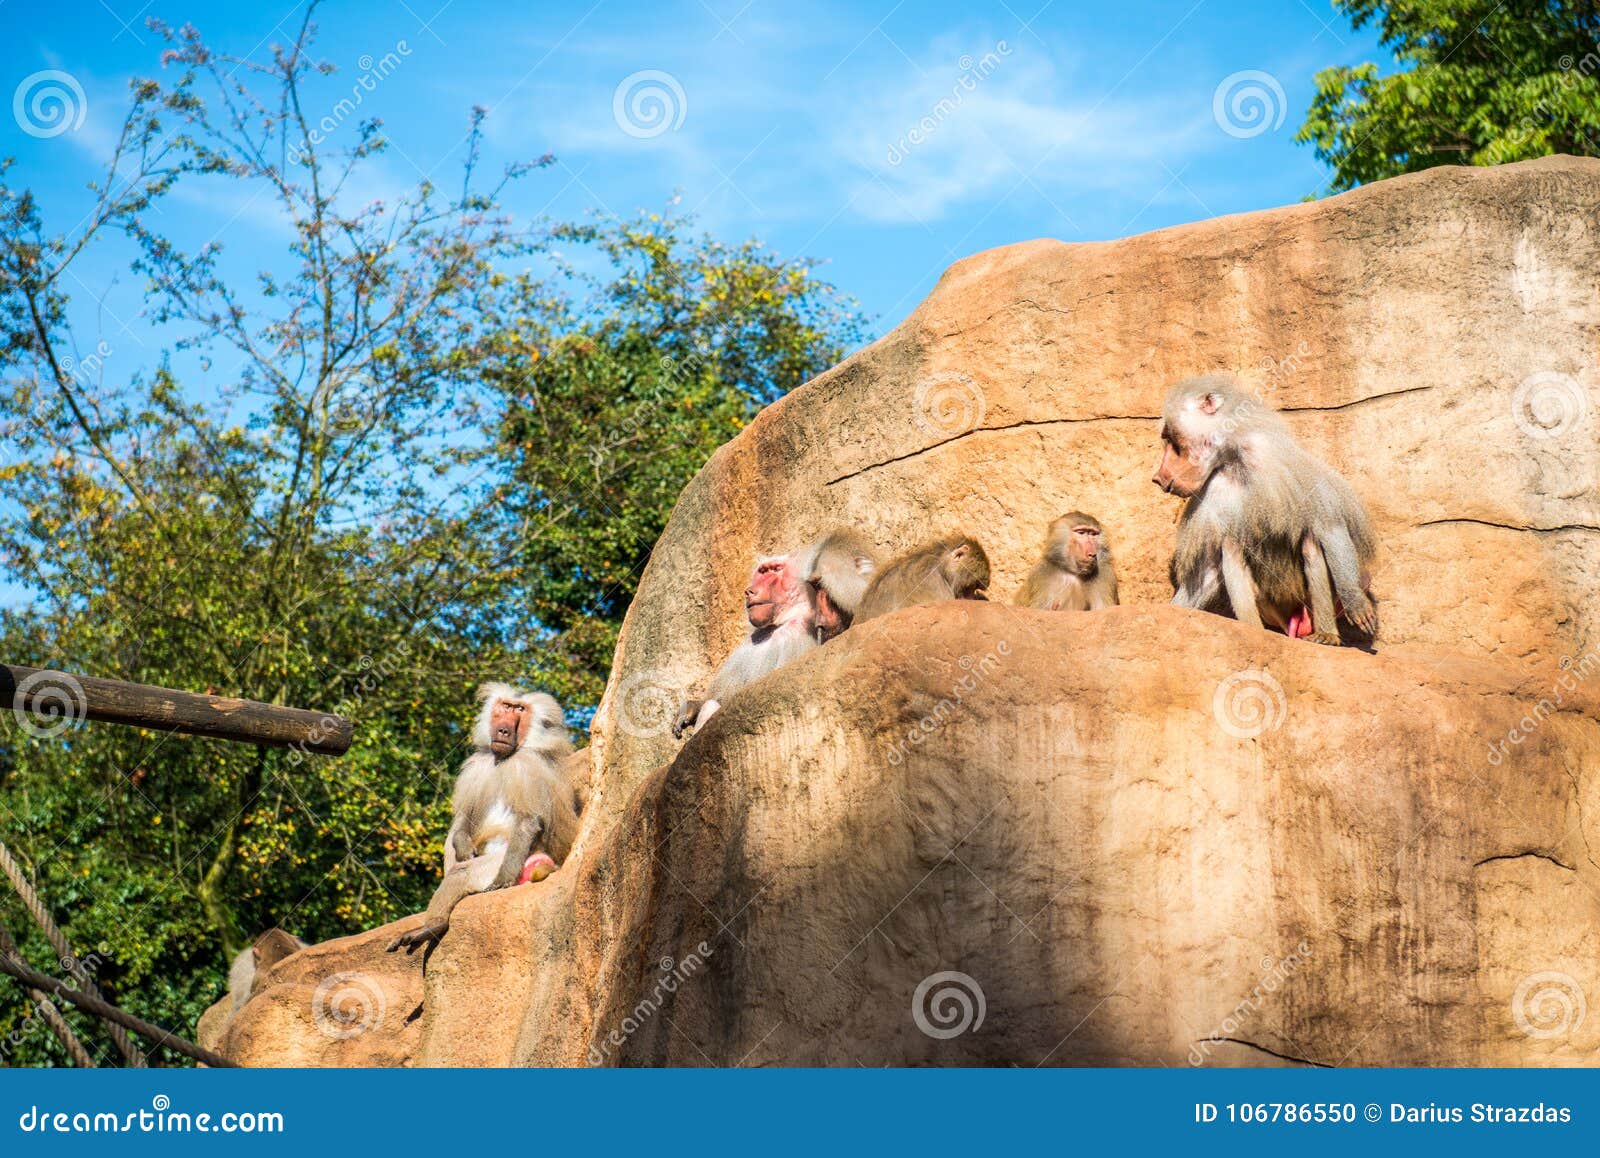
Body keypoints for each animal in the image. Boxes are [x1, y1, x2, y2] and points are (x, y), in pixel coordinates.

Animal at [388, 684, 577, 952]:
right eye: (505, 706)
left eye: (520, 710)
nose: (503, 730)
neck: (504, 758)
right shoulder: (479, 764)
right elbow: (464, 819)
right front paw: (463, 845)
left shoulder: (526, 767)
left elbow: (529, 822)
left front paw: (504, 879)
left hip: (508, 862)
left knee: (462, 873)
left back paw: (433, 926)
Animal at [673, 553, 817, 738]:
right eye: (762, 571)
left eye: (776, 569)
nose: (749, 591)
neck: (777, 625)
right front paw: (689, 710)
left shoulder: (798, 635)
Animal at [1151, 373, 1379, 645]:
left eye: (1171, 440)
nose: (1158, 477)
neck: (1237, 461)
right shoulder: (1213, 492)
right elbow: (1207, 569)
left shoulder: (1283, 461)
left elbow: (1328, 524)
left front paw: (1355, 602)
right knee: (1230, 545)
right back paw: (1252, 629)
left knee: (1310, 541)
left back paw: (1326, 635)